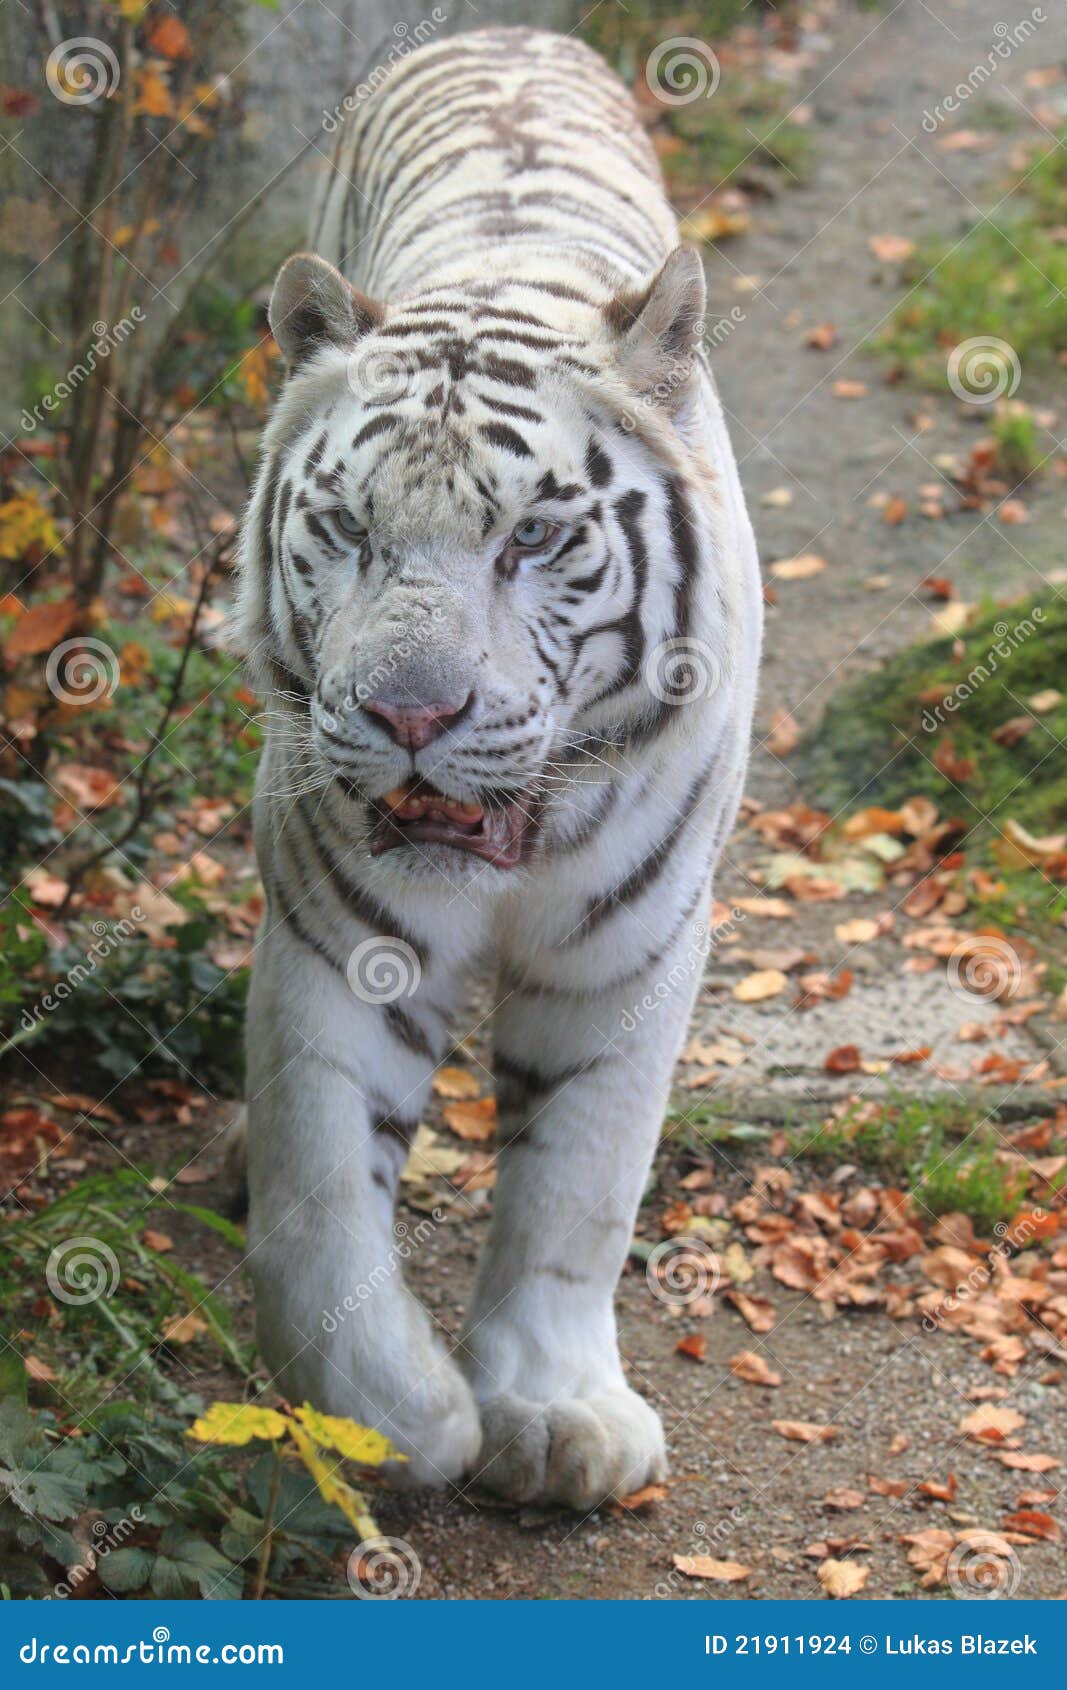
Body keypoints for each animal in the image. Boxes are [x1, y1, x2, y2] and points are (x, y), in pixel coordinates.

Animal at [233, 23, 762, 1509]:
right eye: (348, 528)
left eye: (531, 535)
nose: (410, 713)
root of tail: (505, 29)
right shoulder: (335, 932)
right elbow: (316, 1190)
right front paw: (398, 1416)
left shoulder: (633, 952)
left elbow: (578, 1183)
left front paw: (554, 1412)